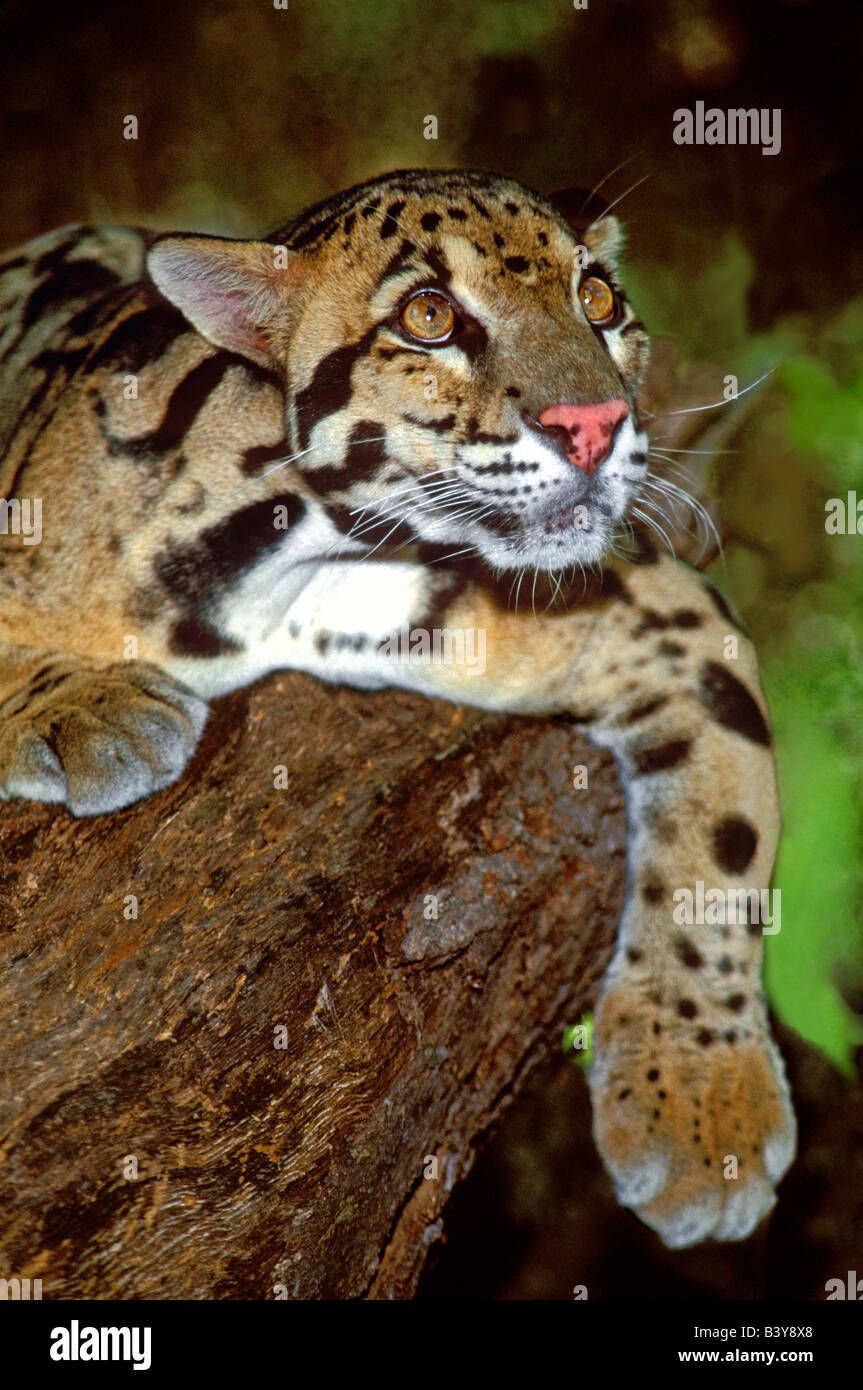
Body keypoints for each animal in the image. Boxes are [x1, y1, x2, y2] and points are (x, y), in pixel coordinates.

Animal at [0, 167, 795, 1249]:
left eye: (597, 299)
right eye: (428, 317)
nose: (595, 423)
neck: (304, 551)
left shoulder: (652, 608)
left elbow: (726, 833)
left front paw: (704, 1102)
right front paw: (90, 701)